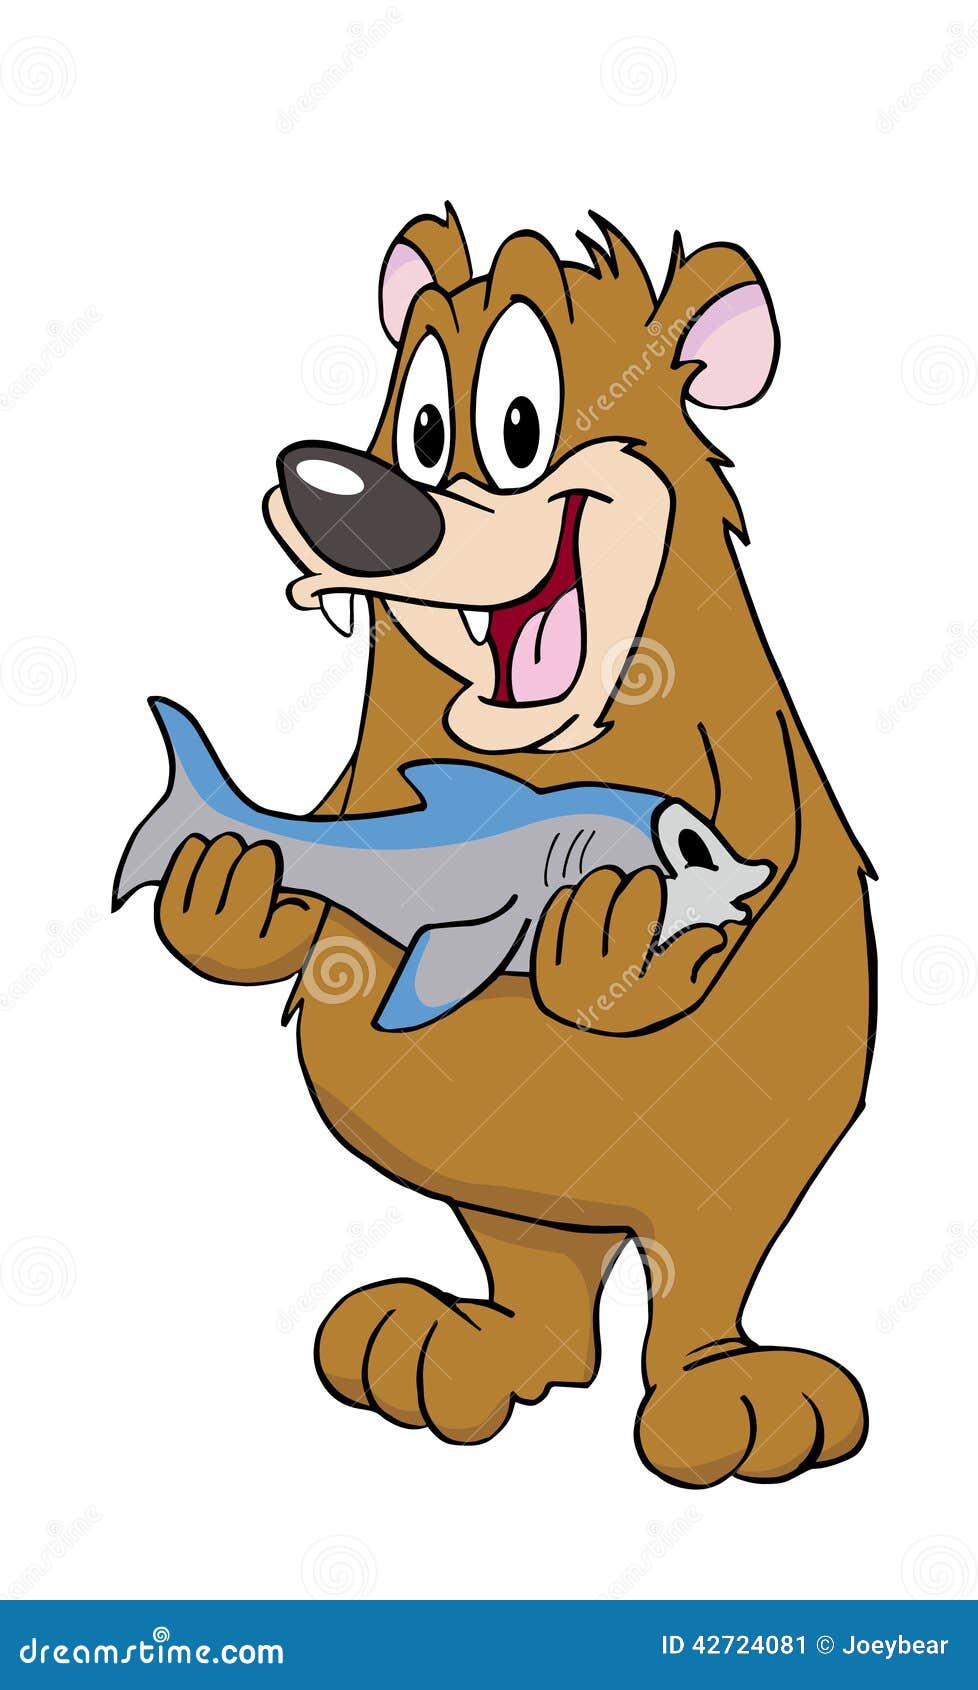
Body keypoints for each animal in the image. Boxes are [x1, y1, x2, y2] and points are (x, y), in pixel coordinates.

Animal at [152, 207, 876, 1486]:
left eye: (521, 427)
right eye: (424, 427)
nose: (331, 492)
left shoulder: (760, 790)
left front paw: (615, 948)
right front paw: (226, 896)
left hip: (729, 1188)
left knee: (698, 1279)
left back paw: (729, 1392)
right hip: (512, 1201)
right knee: (537, 1276)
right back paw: (450, 1343)